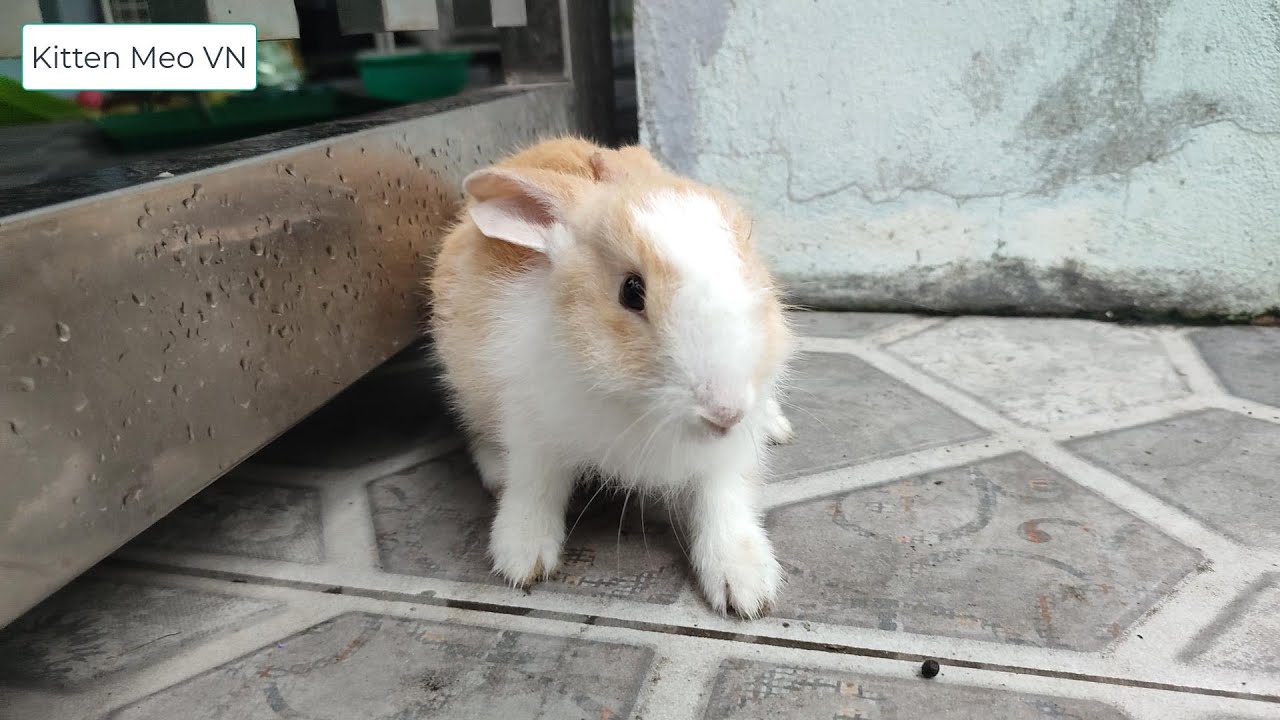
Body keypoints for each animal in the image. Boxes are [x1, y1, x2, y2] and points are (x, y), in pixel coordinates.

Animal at [427, 137, 795, 618]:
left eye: (748, 266)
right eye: (631, 291)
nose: (727, 412)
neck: (637, 408)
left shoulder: (727, 457)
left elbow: (723, 500)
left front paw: (746, 587)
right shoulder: (532, 431)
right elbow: (533, 488)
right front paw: (521, 558)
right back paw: (495, 475)